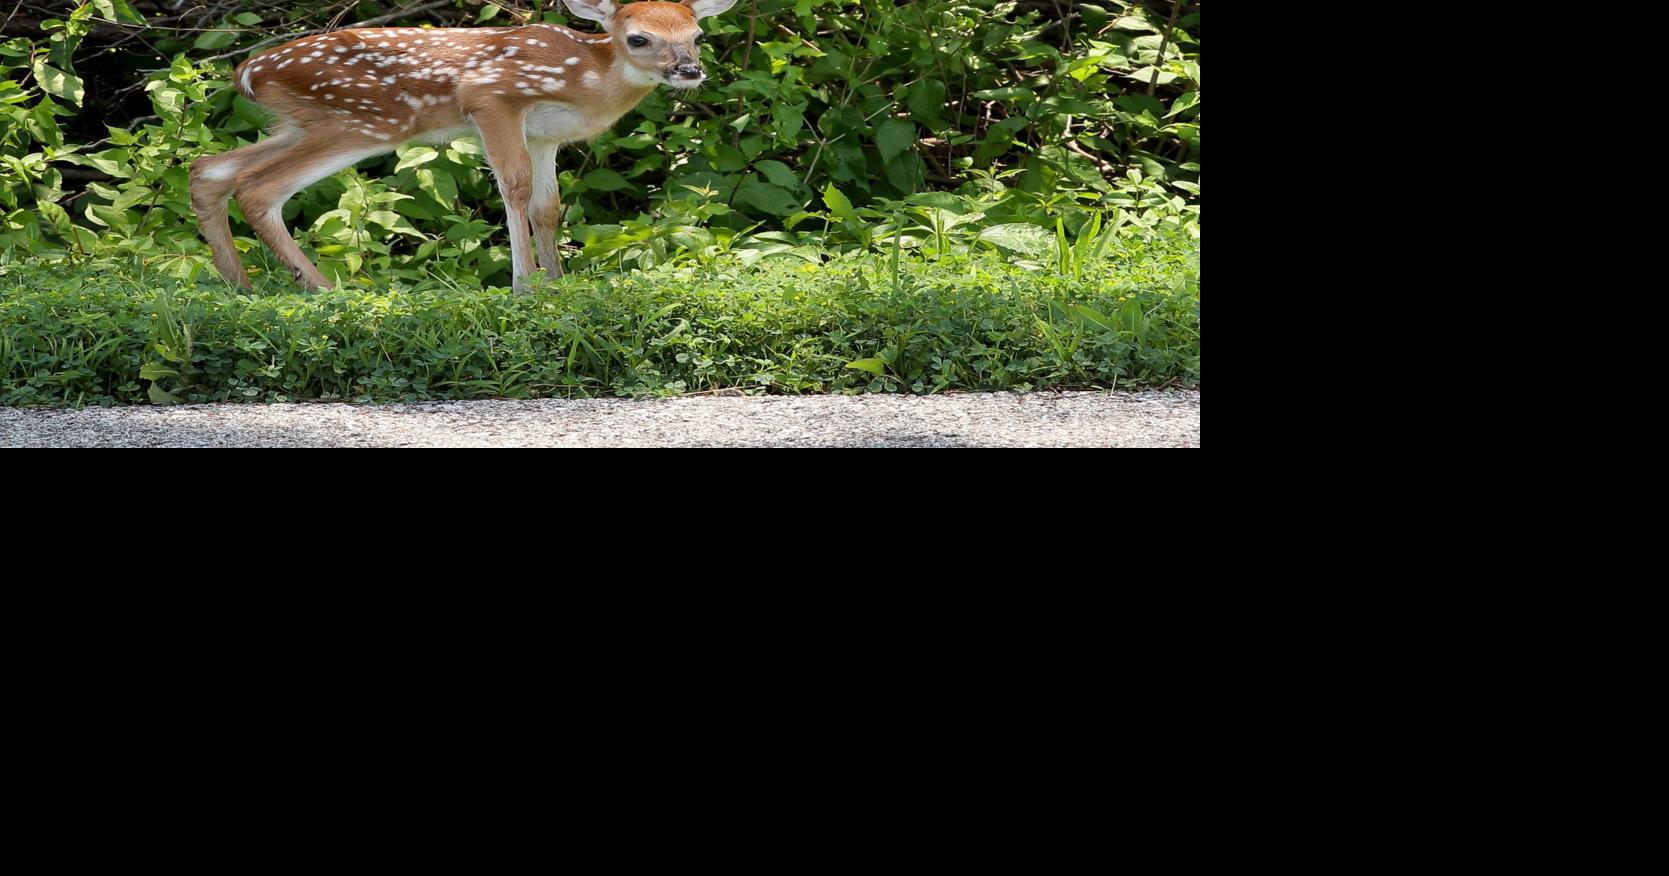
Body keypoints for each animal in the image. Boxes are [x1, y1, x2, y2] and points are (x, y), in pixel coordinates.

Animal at [190, 0, 737, 294]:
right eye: (639, 38)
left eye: (697, 34)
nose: (689, 70)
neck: (587, 79)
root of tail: (246, 72)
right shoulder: (492, 99)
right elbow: (514, 189)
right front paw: (525, 286)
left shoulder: (544, 135)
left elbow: (547, 207)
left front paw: (557, 283)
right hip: (365, 121)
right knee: (256, 188)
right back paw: (325, 289)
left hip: (298, 124)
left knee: (209, 169)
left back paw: (238, 286)